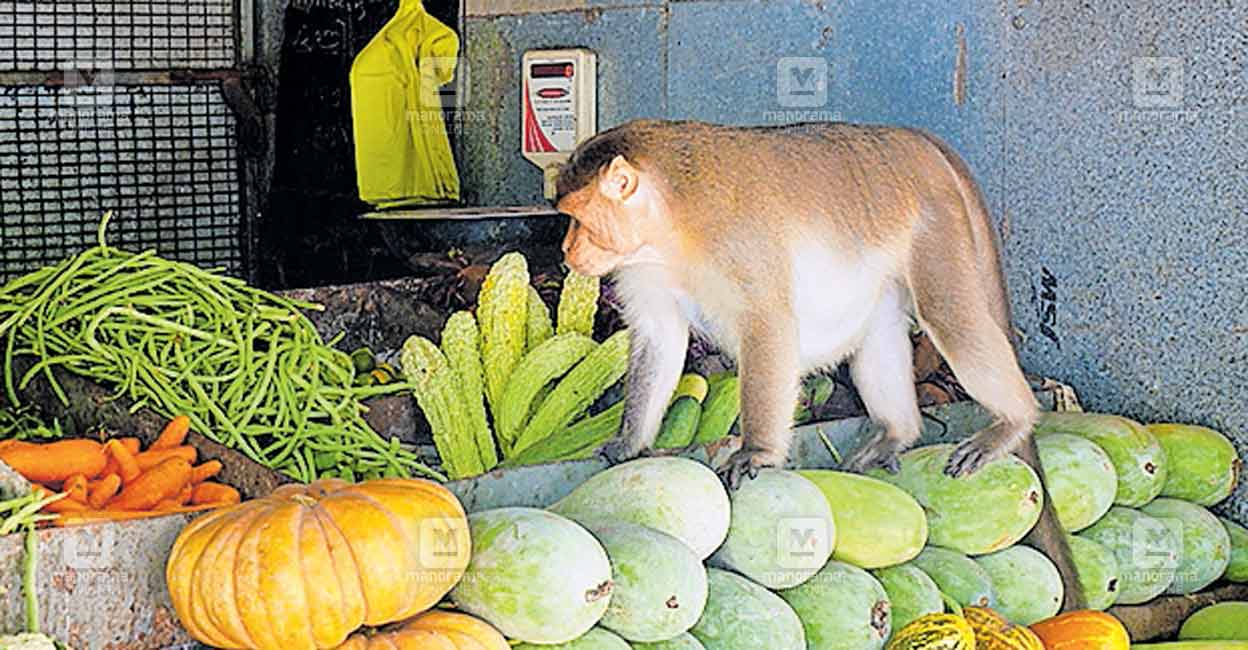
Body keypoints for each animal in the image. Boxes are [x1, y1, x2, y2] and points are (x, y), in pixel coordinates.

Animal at [553, 119, 1084, 609]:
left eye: (578, 218)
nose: (565, 249)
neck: (671, 223)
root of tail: (915, 139)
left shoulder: (739, 245)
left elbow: (768, 327)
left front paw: (758, 452)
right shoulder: (643, 264)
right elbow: (660, 336)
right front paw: (629, 442)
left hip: (936, 224)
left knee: (950, 316)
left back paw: (1013, 422)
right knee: (880, 331)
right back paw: (899, 432)